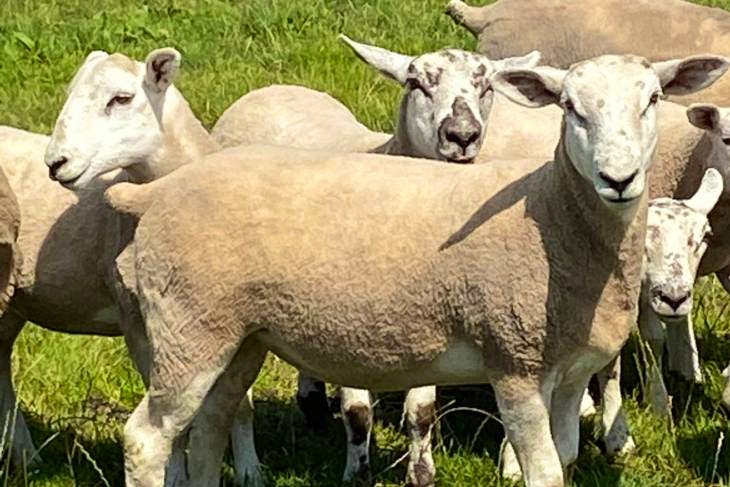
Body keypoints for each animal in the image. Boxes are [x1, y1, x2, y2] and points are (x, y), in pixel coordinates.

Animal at [103, 54, 727, 487]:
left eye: (653, 99)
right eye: (570, 107)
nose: (618, 178)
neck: (553, 216)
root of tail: (157, 192)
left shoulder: (572, 373)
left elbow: (569, 458)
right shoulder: (514, 362)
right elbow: (544, 472)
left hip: (237, 336)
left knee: (210, 426)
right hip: (187, 330)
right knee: (146, 439)